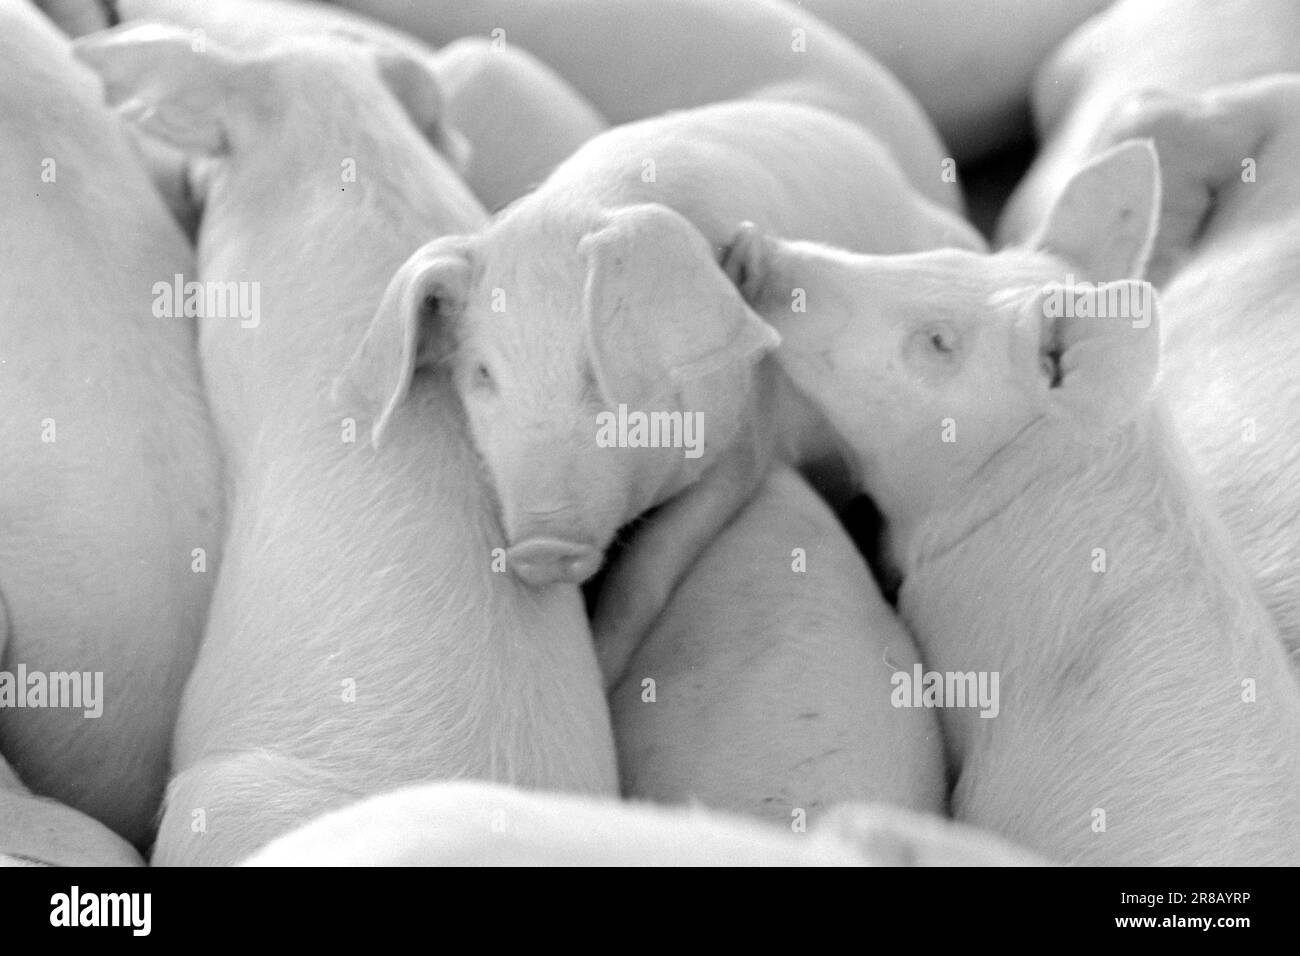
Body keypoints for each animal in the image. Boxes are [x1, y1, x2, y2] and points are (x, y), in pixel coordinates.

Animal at [338, 98, 983, 681]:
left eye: (596, 368)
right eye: (482, 374)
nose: (541, 547)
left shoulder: (745, 440)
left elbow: (647, 568)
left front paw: (604, 672)